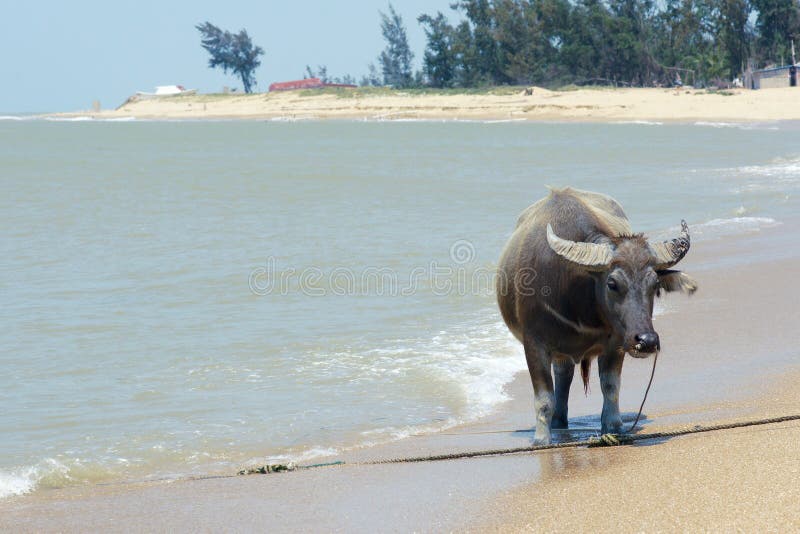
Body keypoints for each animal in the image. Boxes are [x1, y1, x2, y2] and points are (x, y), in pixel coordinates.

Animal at [496, 187, 696, 444]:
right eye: (612, 283)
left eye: (655, 285)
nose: (647, 341)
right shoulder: (533, 344)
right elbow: (543, 398)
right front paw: (541, 440)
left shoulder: (616, 342)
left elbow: (610, 386)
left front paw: (613, 428)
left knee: (564, 373)